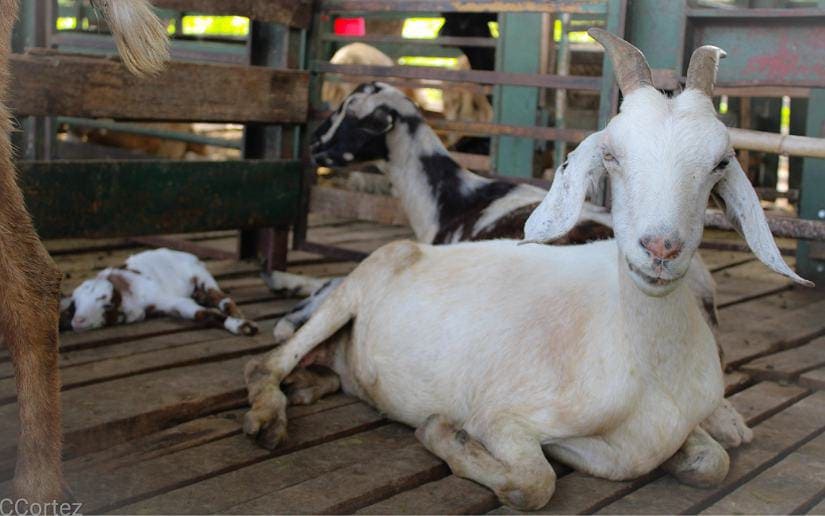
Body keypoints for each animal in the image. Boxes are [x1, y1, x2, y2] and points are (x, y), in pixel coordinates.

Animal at [60, 248, 258, 336]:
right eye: (74, 306)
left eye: (107, 304)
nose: (77, 321)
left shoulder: (165, 299)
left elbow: (200, 312)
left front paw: (242, 326)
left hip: (202, 276)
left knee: (222, 297)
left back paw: (236, 313)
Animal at [243, 30, 810, 510]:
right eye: (610, 153)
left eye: (721, 162)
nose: (661, 248)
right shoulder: (505, 419)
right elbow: (534, 483)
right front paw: (444, 433)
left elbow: (713, 460)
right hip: (359, 284)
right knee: (266, 361)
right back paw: (269, 413)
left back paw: (309, 383)